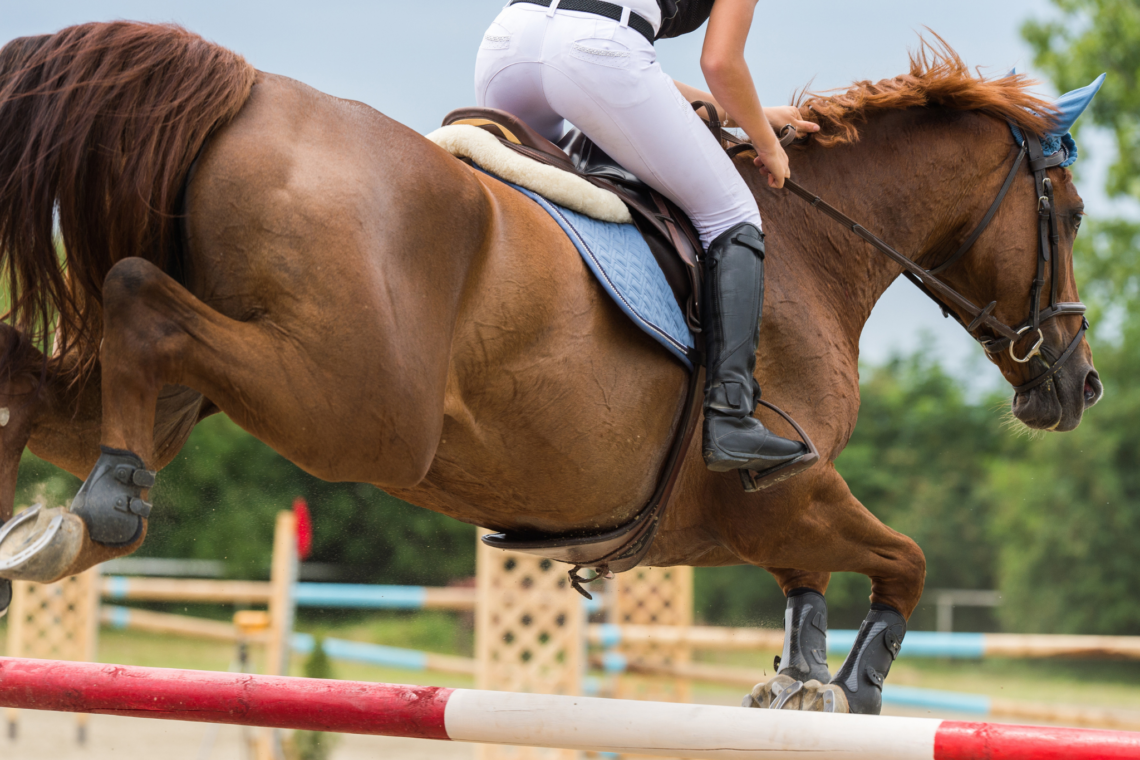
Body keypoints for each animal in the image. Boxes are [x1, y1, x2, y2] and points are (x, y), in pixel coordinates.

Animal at [0, 23, 1101, 714]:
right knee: (138, 306)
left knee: (33, 378)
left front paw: (800, 677)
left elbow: (822, 577)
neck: (811, 244)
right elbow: (905, 558)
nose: (1079, 383)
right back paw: (100, 510)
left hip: (207, 400)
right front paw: (859, 683)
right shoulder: (776, 489)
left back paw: (47, 524)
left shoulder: (766, 515)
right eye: (1077, 213)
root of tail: (246, 90)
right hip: (351, 410)